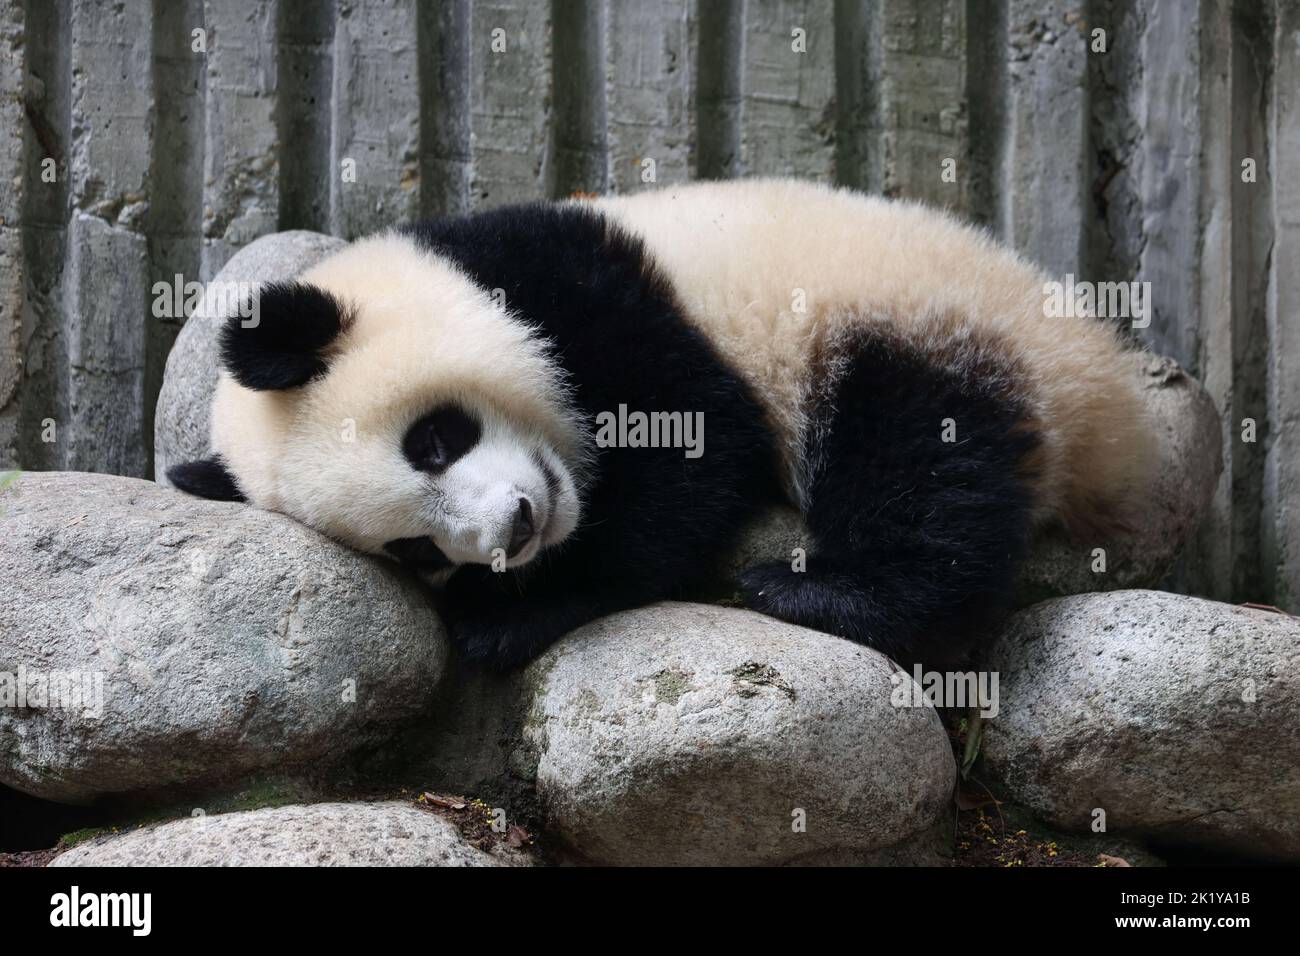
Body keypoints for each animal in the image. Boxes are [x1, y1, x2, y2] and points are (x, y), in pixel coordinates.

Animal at [168, 178, 1154, 669]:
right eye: (416, 553)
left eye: (435, 440)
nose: (518, 530)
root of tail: (1099, 388)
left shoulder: (583, 289)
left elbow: (695, 443)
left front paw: (518, 616)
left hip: (906, 317)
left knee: (919, 459)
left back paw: (822, 592)